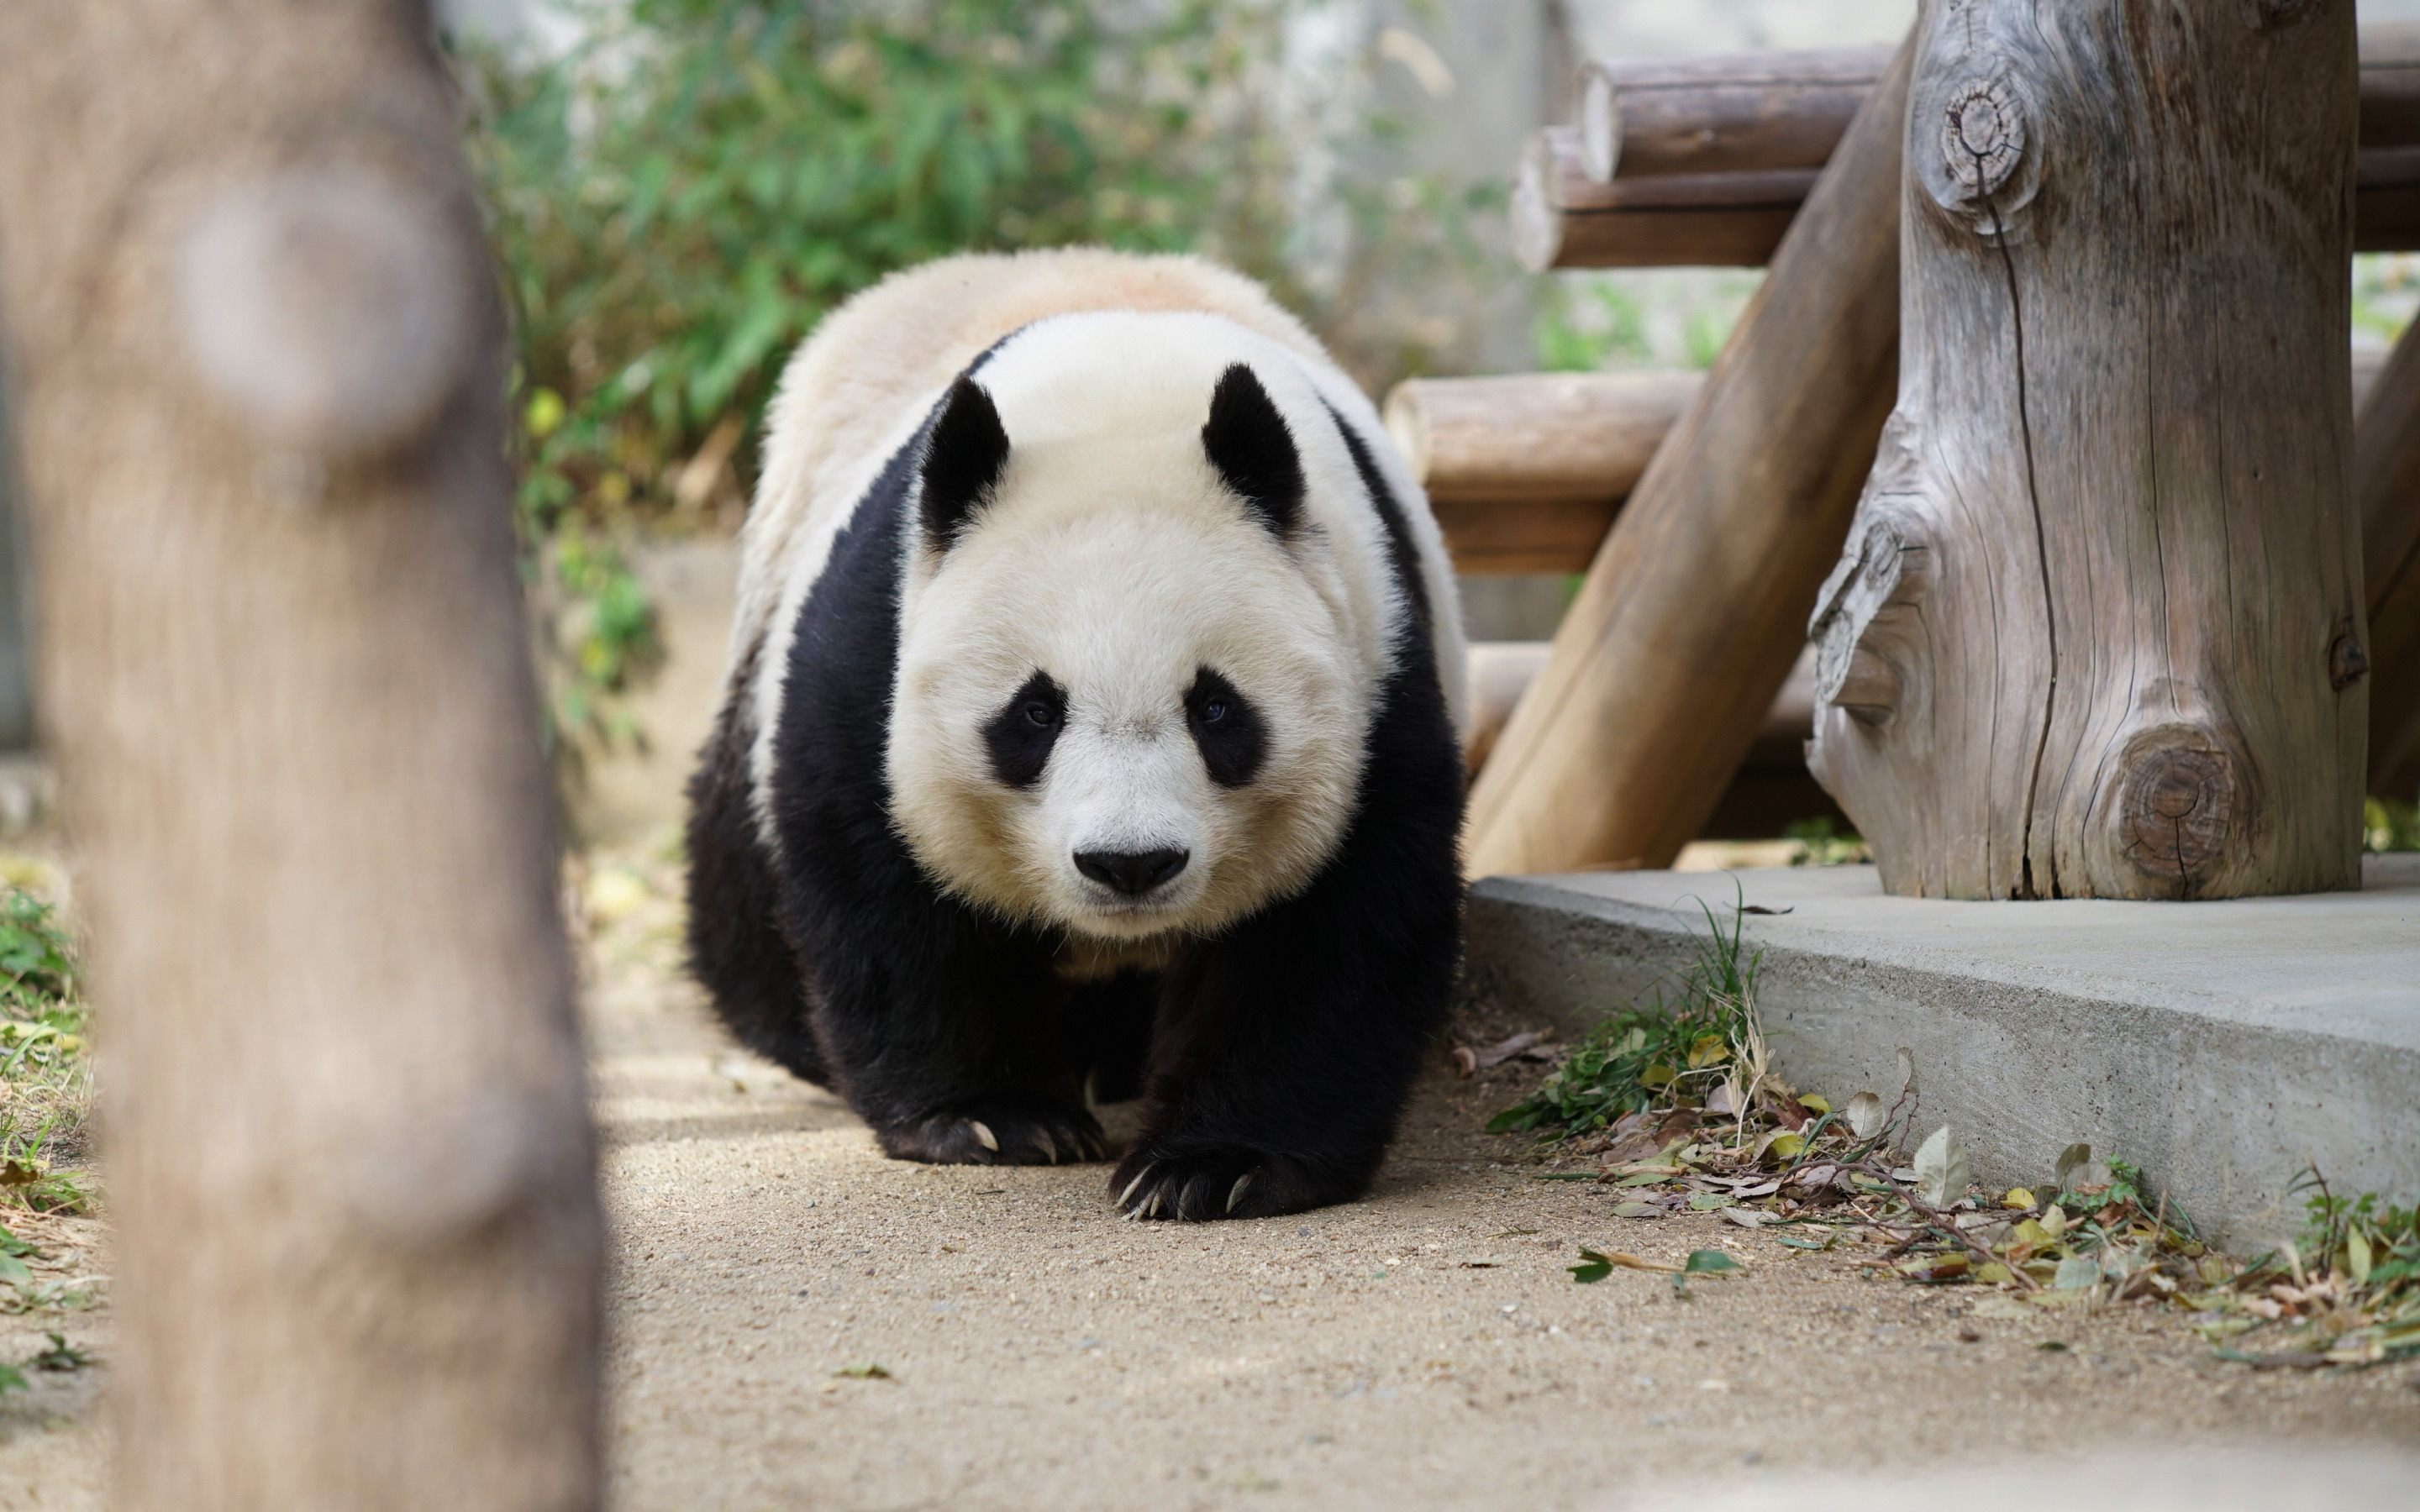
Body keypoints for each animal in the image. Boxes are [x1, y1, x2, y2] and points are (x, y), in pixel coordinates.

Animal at [685, 248, 1470, 1221]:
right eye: (1035, 712)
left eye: (1215, 709)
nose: (1129, 865)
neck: (1128, 391)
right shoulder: (875, 638)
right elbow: (880, 876)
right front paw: (994, 1118)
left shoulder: (1374, 657)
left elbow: (1337, 923)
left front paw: (1213, 1164)